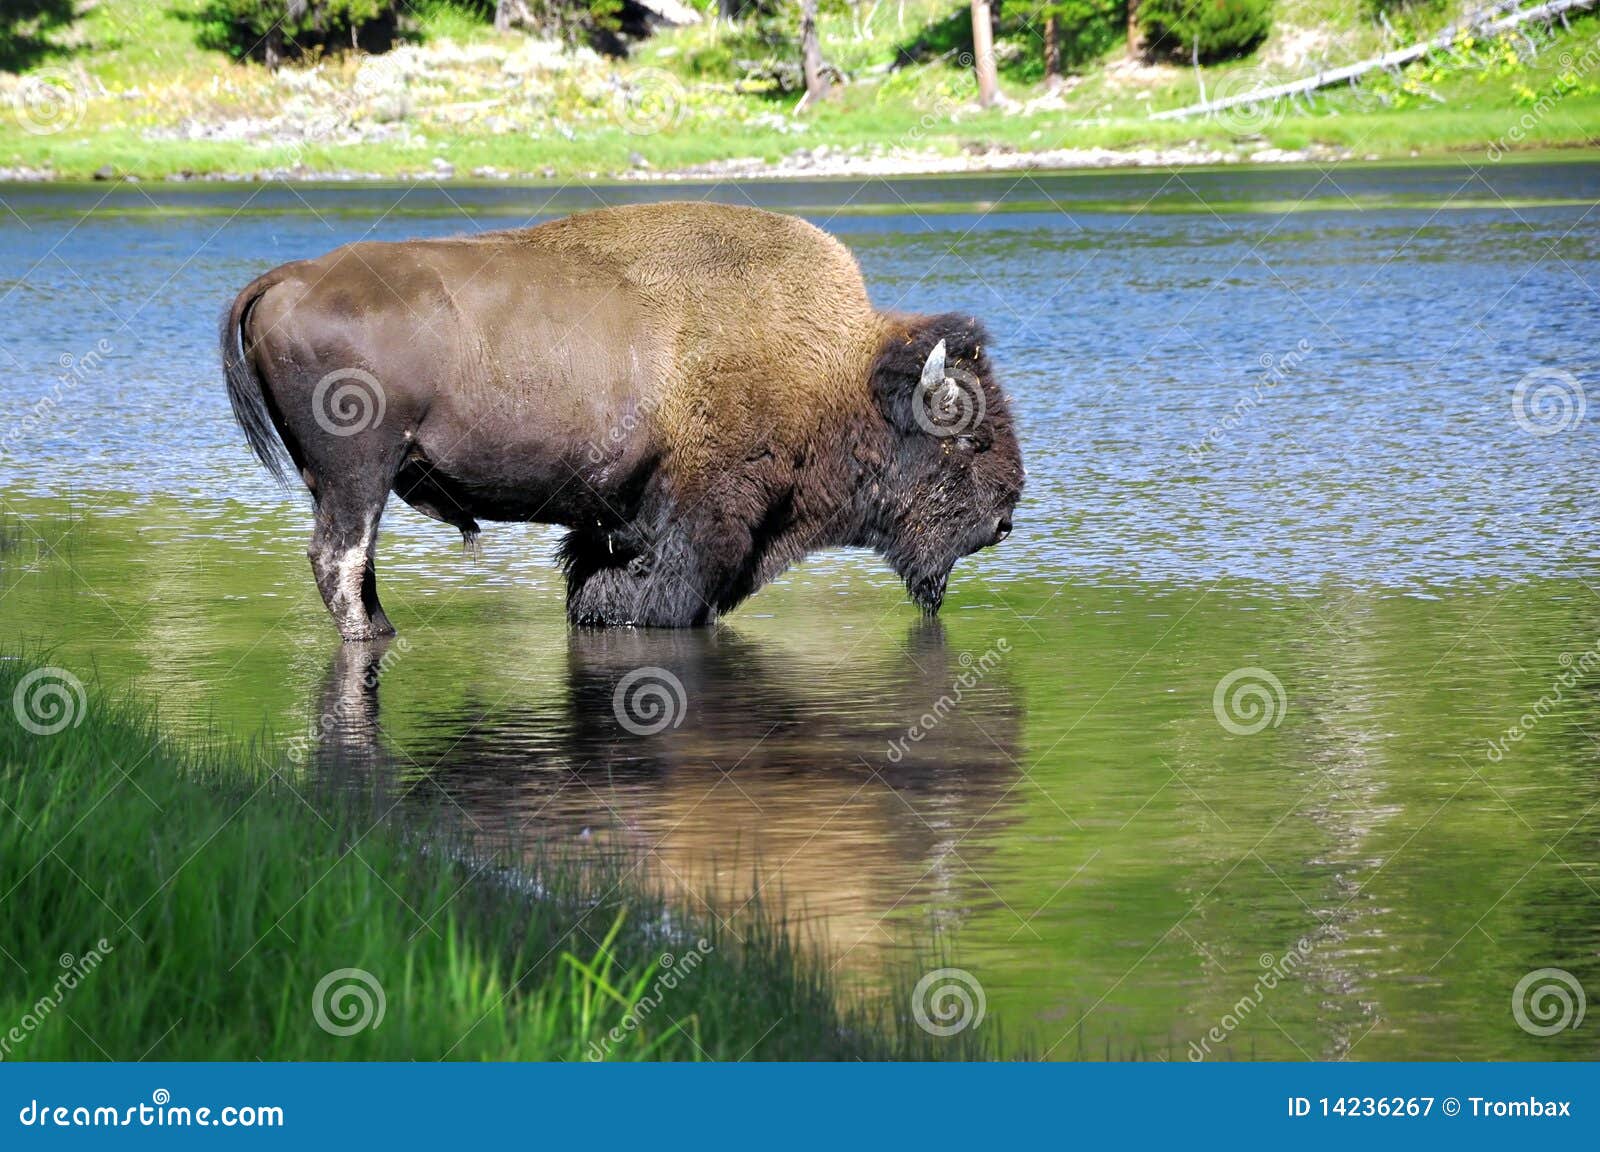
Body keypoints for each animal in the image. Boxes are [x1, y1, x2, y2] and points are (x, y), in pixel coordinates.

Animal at [222, 202, 1023, 639]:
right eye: (969, 438)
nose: (1005, 519)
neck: (831, 364)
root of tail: (286, 278)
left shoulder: (612, 521)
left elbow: (597, 588)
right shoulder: (706, 516)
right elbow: (672, 592)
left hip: (340, 479)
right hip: (359, 473)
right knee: (340, 557)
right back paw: (376, 635)